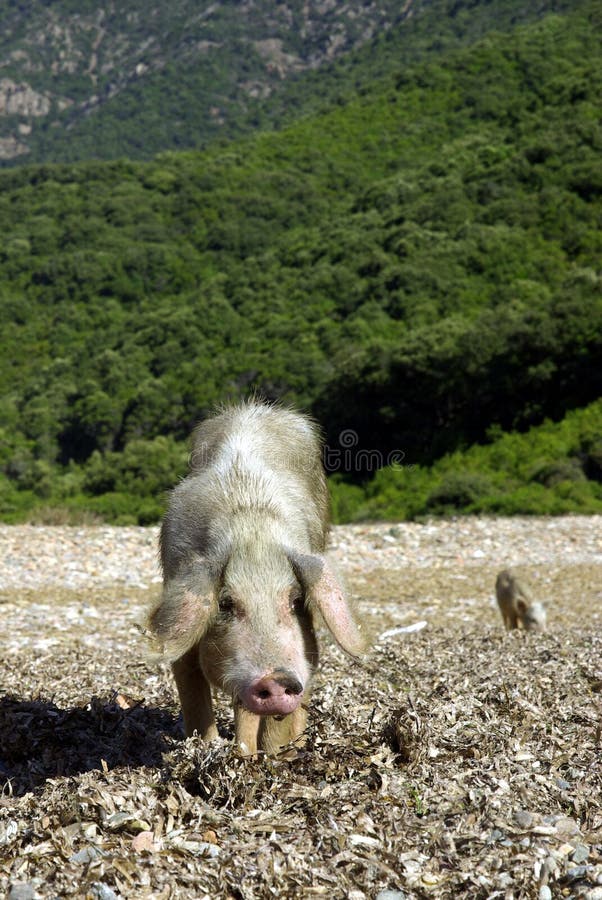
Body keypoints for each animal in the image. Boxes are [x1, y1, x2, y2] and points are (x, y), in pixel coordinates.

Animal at [148, 400, 365, 755]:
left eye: (294, 600)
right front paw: (210, 749)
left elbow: (277, 724)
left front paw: (274, 756)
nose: (276, 679)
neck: (252, 533)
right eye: (225, 604)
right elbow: (192, 692)